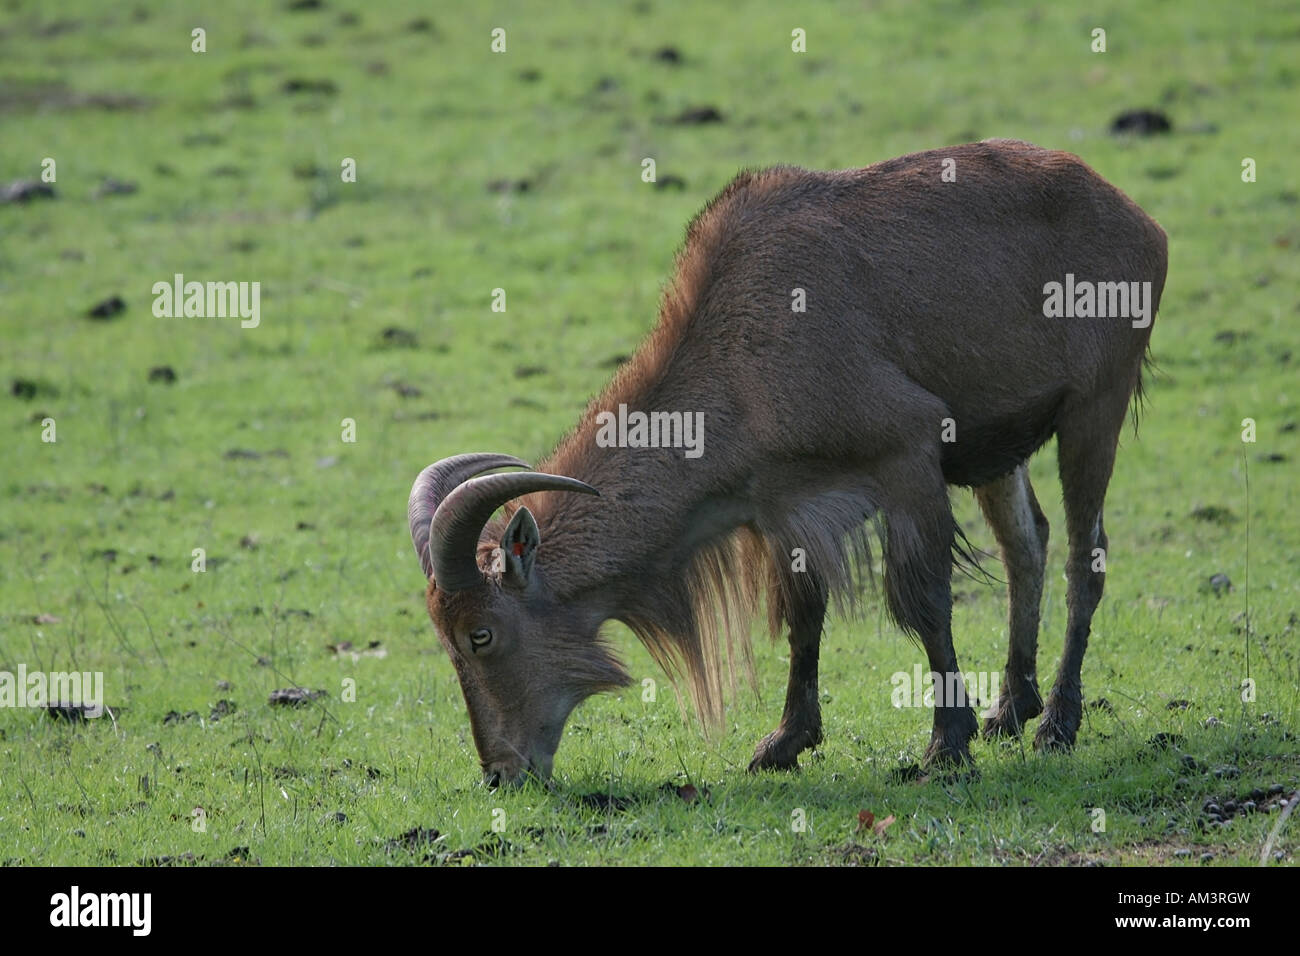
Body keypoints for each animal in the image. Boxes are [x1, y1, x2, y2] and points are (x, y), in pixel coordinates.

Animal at [407, 139, 1168, 786]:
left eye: (480, 635)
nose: (501, 773)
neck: (745, 357)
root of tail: (1141, 223)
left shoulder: (909, 454)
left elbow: (924, 605)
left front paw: (945, 748)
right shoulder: (786, 511)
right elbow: (805, 618)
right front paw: (783, 742)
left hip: (1092, 409)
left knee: (1085, 557)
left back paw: (1058, 723)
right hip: (998, 452)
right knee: (1026, 545)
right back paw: (1012, 707)